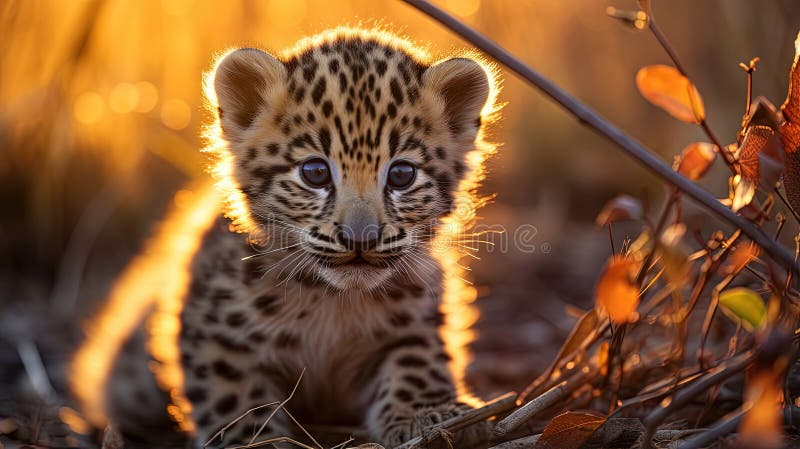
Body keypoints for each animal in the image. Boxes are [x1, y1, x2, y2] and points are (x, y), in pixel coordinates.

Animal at [98, 27, 500, 449]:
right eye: (315, 172)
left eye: (402, 175)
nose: (360, 239)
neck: (335, 301)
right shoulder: (215, 335)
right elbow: (235, 398)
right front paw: (255, 441)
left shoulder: (418, 314)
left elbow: (416, 362)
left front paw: (434, 415)